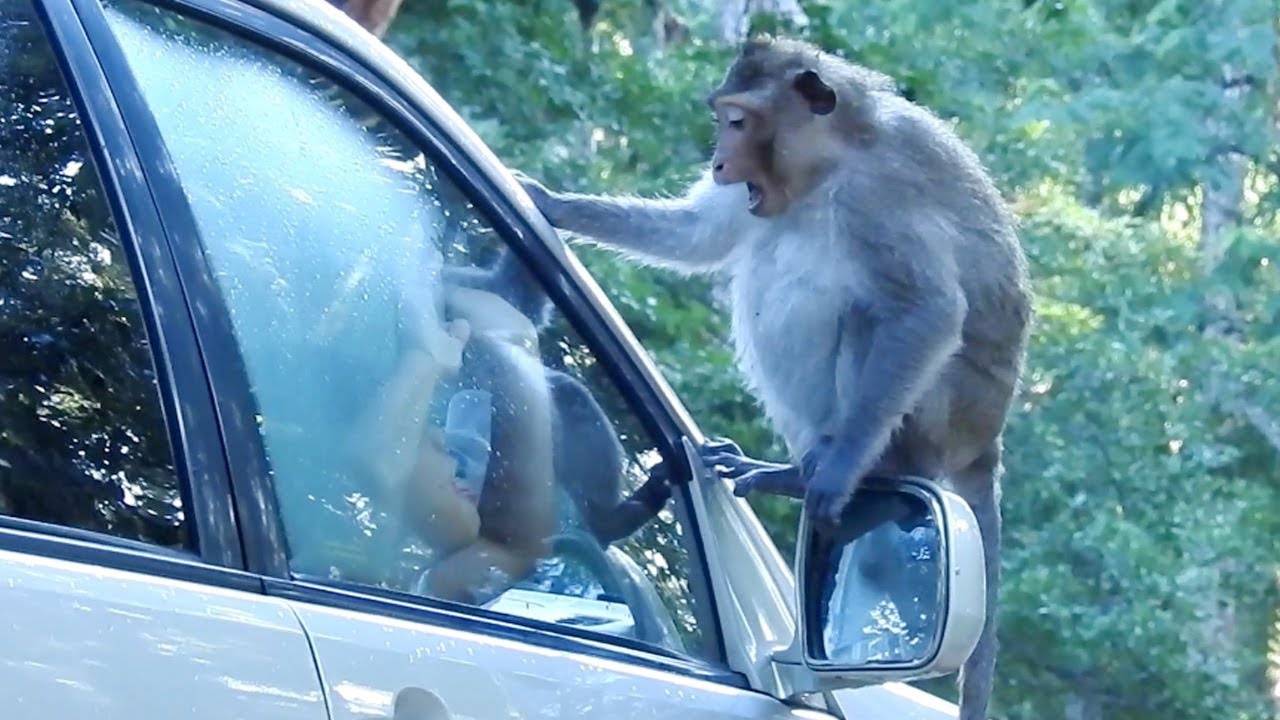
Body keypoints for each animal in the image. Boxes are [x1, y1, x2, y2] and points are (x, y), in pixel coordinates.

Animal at [511, 36, 1031, 720]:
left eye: (736, 122)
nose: (719, 163)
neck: (831, 161)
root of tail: (987, 440)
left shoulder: (881, 194)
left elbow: (929, 311)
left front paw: (838, 475)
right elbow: (699, 234)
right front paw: (552, 202)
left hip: (944, 413)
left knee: (867, 314)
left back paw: (845, 470)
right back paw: (790, 468)